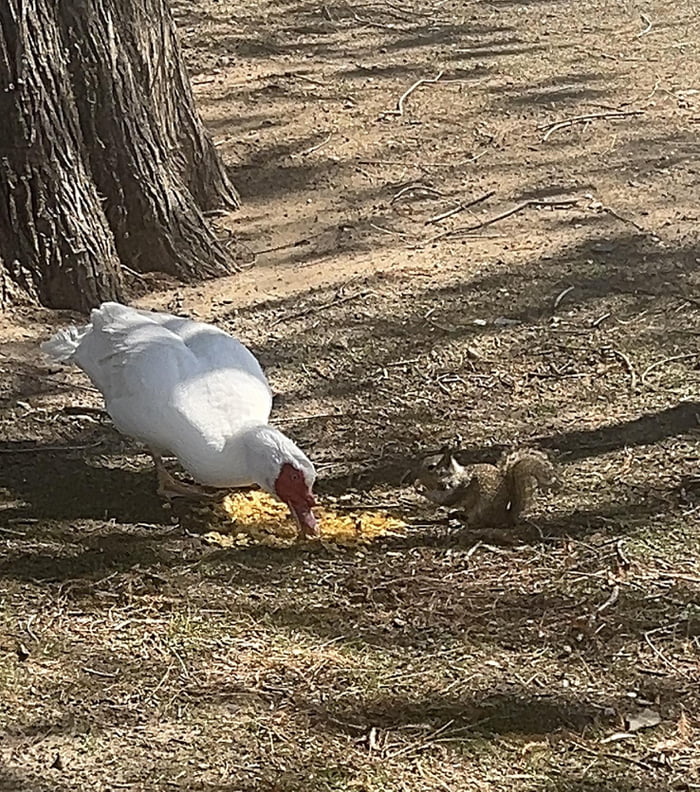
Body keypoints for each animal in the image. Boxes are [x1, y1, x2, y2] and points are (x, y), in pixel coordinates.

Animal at [414, 447, 559, 528]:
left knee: (476, 523)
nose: (416, 474)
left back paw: (458, 522)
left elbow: (445, 499)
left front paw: (421, 489)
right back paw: (455, 514)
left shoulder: (460, 487)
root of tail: (504, 516)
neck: (454, 474)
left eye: (431, 467)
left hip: (481, 510)